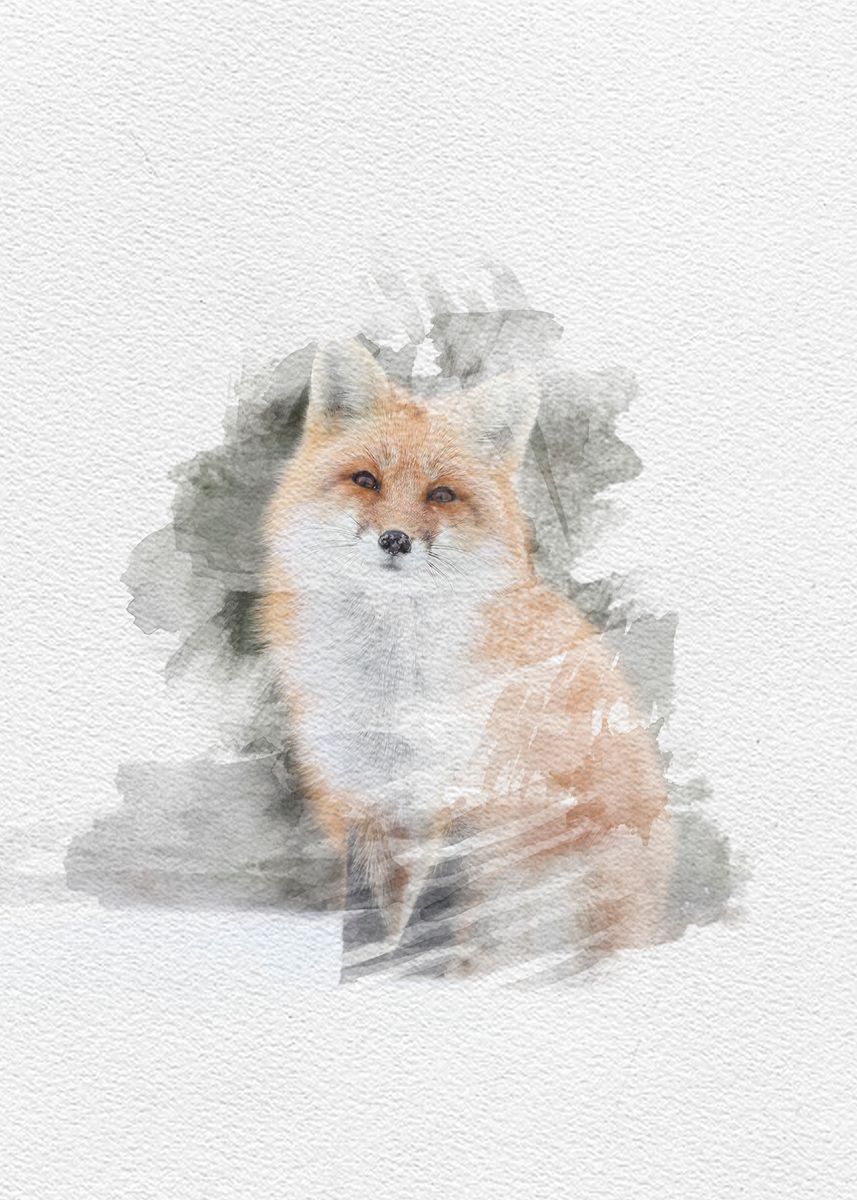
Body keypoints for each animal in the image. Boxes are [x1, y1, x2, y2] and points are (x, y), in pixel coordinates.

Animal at [259, 339, 673, 975]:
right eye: (366, 480)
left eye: (441, 494)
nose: (396, 540)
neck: (393, 687)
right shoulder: (363, 800)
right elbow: (371, 926)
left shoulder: (471, 804)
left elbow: (441, 926)